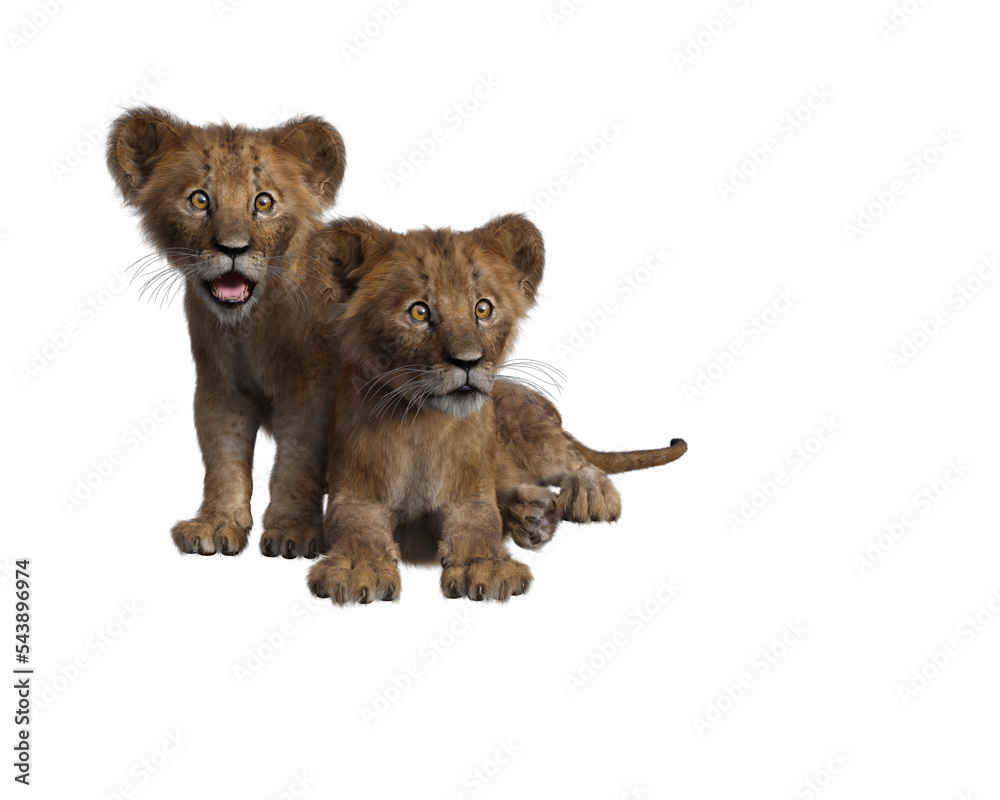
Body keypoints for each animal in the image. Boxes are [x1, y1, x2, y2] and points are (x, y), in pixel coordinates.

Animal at [306, 215, 687, 604]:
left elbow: (478, 525)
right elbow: (355, 526)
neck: (420, 426)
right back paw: (532, 515)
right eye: (419, 311)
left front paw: (484, 568)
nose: (468, 361)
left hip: (531, 435)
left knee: (576, 461)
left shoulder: (470, 494)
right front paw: (358, 568)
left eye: (483, 309)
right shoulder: (353, 493)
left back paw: (584, 498)